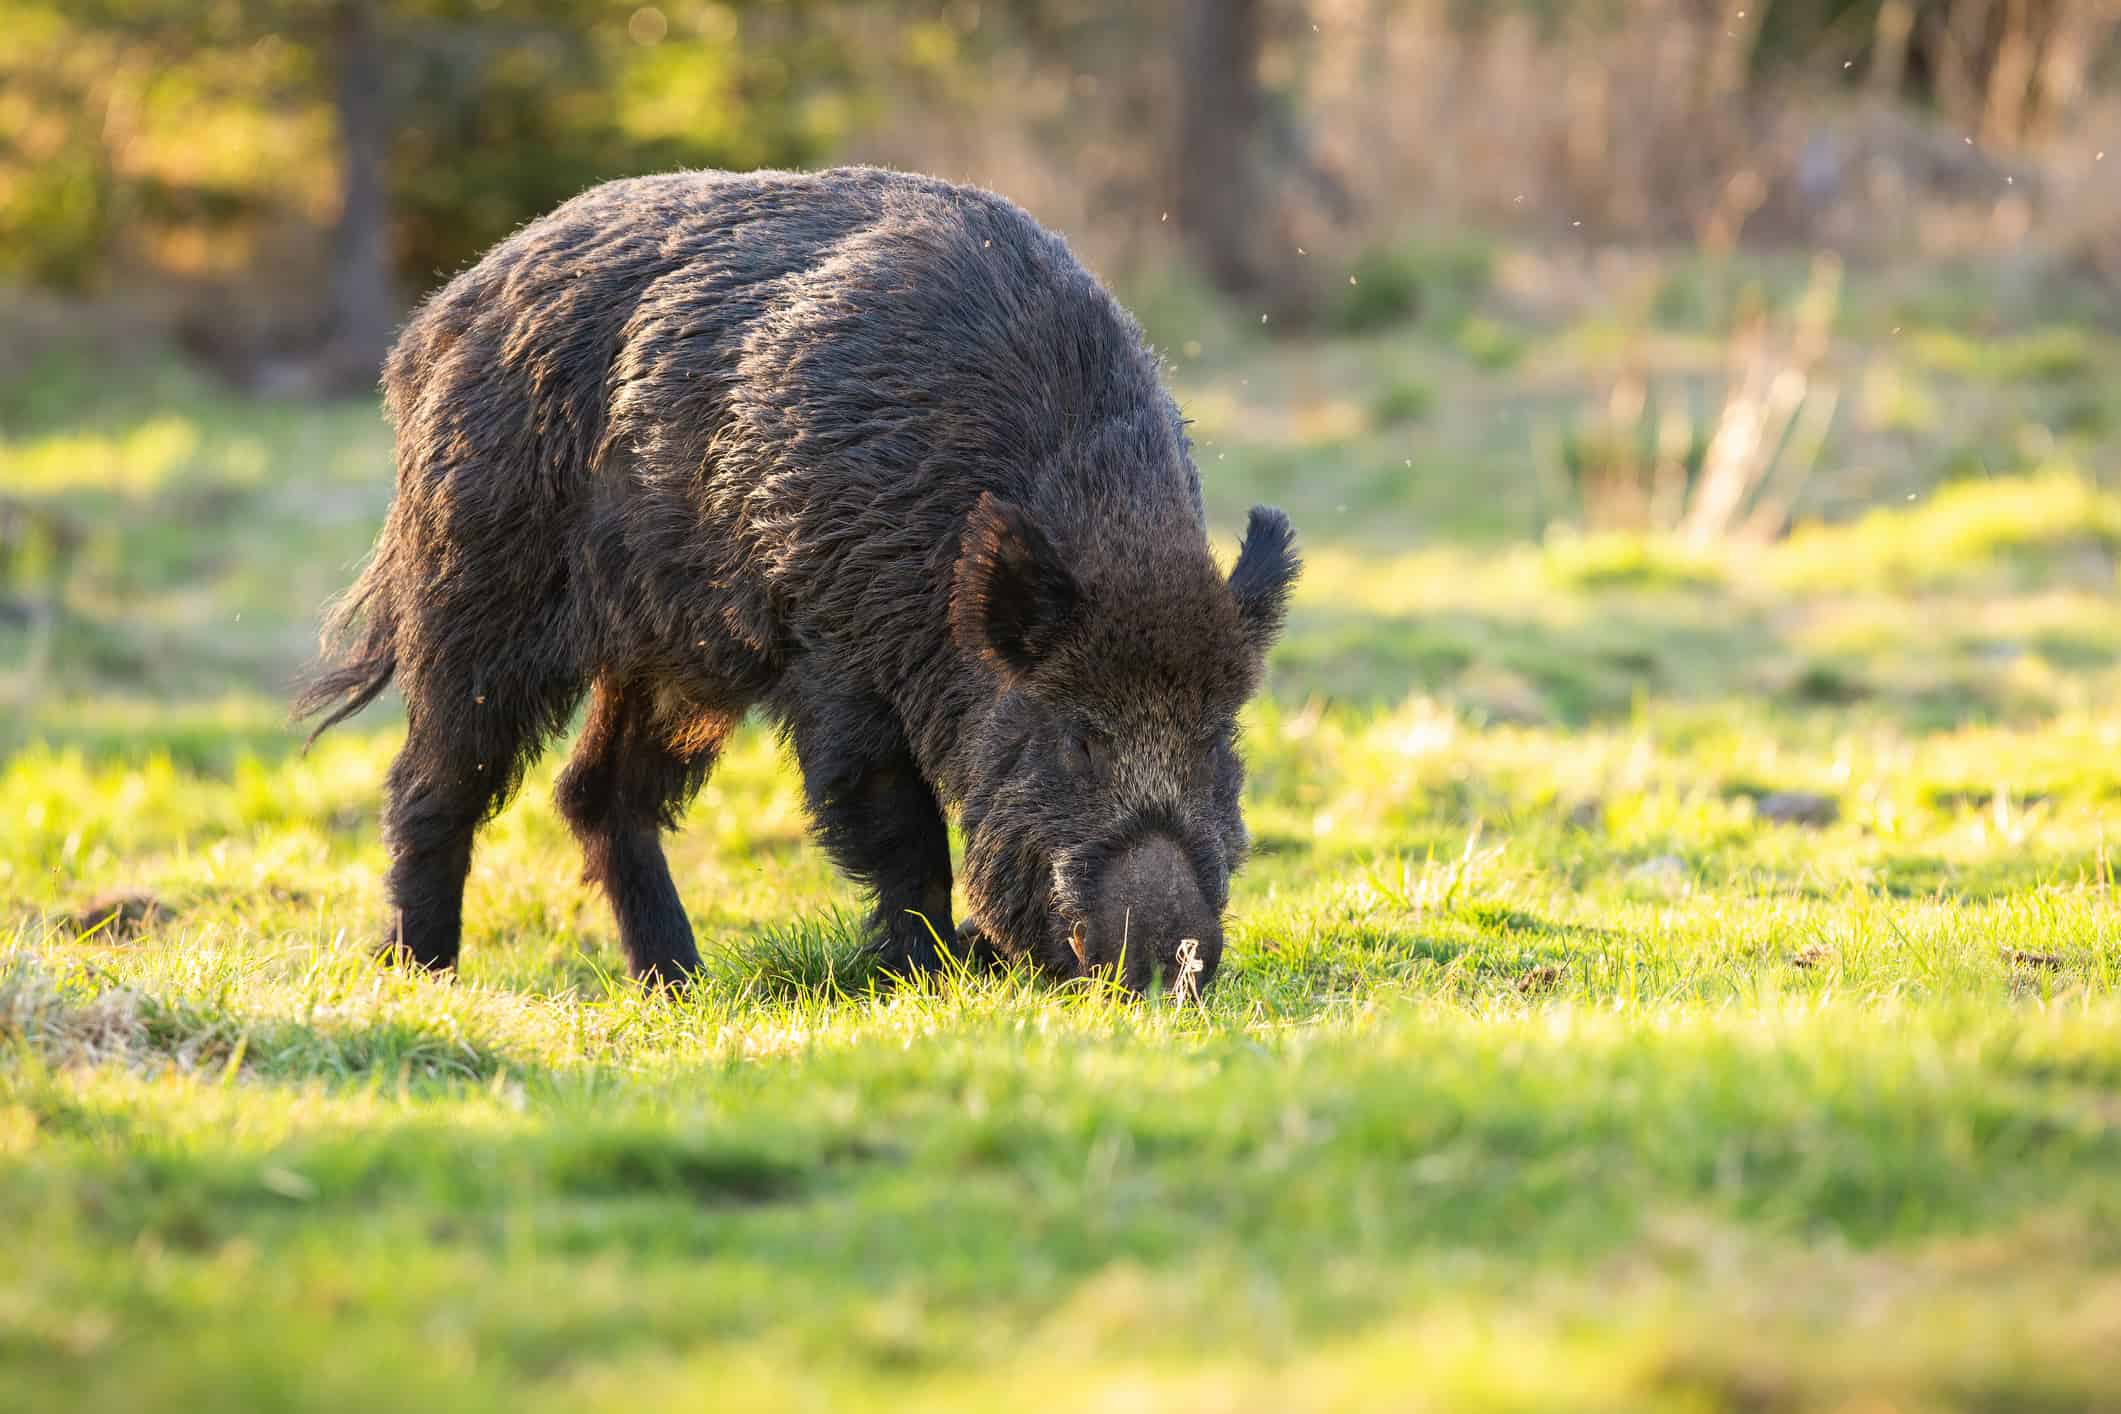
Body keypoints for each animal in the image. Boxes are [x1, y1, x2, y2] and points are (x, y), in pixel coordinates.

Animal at [296, 166, 1299, 995]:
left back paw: (678, 985)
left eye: (1217, 740)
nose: (1171, 962)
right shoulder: (834, 654)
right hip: (474, 593)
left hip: (673, 659)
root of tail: (433, 326)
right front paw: (929, 970)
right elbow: (894, 826)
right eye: (1076, 739)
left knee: (598, 793)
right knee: (432, 784)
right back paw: (423, 974)